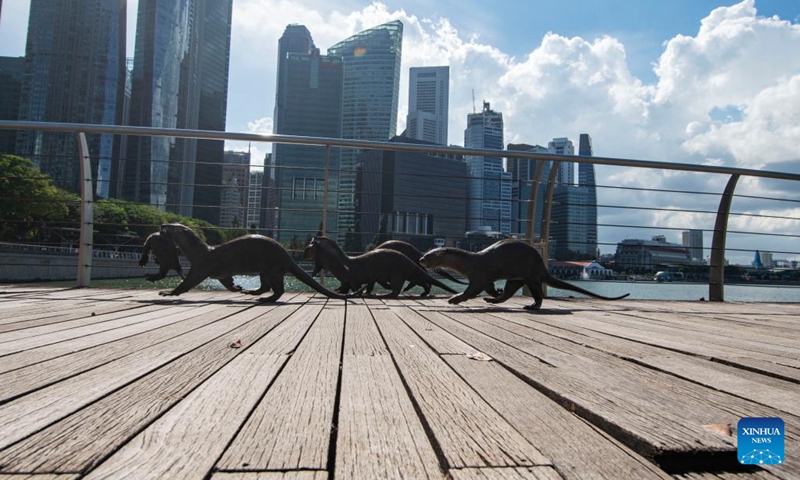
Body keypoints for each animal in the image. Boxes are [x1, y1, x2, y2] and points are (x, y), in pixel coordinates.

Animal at [157, 223, 358, 302]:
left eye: (172, 227)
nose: (162, 226)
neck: (199, 252)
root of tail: (286, 255)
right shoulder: (222, 274)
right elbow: (227, 281)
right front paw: (237, 287)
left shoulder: (200, 267)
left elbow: (186, 283)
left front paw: (168, 292)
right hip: (264, 270)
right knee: (265, 286)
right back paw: (251, 291)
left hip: (272, 268)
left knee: (278, 289)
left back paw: (265, 299)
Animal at [304, 236, 458, 298]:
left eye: (308, 248)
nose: (304, 252)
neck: (342, 264)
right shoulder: (345, 280)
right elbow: (344, 287)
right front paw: (339, 290)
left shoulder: (352, 278)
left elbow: (355, 286)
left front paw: (360, 293)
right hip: (410, 274)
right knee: (423, 282)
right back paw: (422, 293)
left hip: (397, 272)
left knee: (397, 289)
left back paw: (388, 294)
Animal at [419, 239, 629, 310]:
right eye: (425, 254)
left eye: (430, 255)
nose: (421, 259)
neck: (469, 263)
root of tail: (543, 266)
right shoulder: (484, 278)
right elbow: (489, 287)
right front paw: (494, 292)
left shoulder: (479, 275)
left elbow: (472, 291)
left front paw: (454, 299)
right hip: (516, 279)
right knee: (507, 293)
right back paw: (492, 299)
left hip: (532, 277)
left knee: (538, 295)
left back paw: (532, 306)